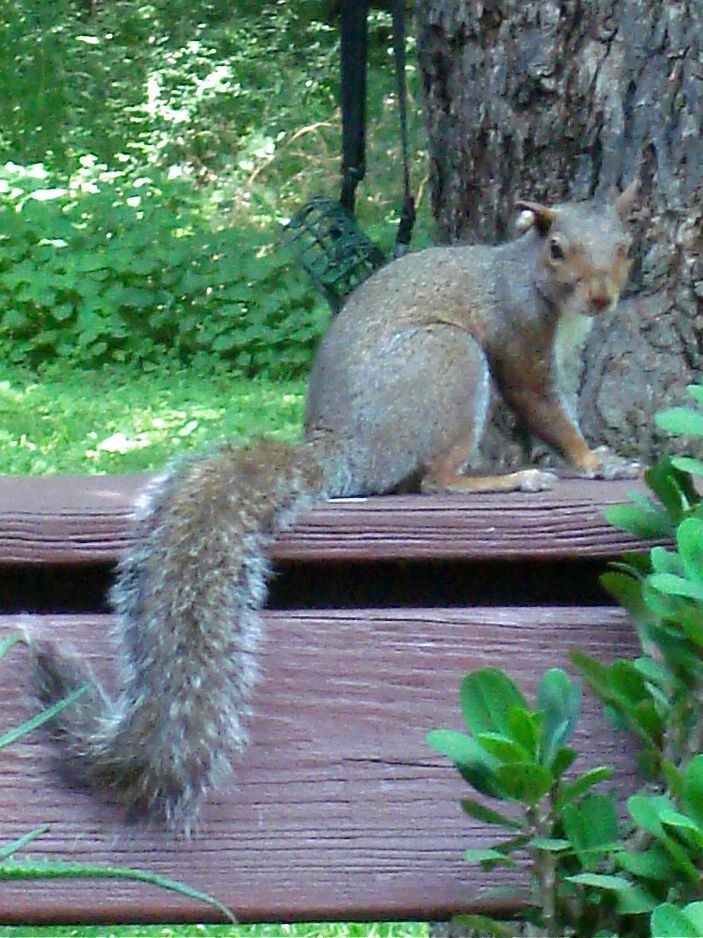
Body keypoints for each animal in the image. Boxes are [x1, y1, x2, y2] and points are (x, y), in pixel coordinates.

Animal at [29, 184, 640, 832]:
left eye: (627, 246)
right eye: (557, 249)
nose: (601, 297)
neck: (534, 284)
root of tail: (346, 446)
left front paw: (586, 455)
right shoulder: (520, 338)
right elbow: (541, 406)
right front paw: (592, 461)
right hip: (446, 359)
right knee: (434, 480)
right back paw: (501, 479)